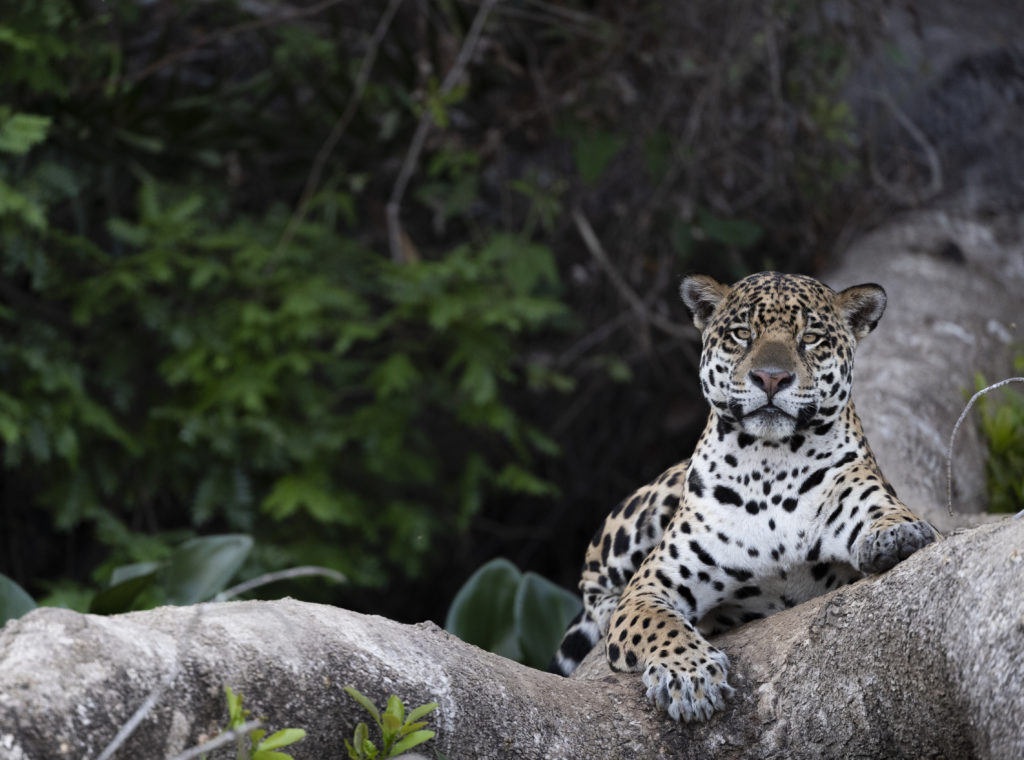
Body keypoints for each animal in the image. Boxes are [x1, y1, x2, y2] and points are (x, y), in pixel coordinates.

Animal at [550, 271, 939, 722]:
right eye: (742, 334)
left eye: (810, 338)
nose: (771, 378)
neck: (769, 467)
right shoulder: (649, 587)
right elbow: (659, 623)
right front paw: (690, 676)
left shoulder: (865, 493)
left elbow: (890, 513)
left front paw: (896, 536)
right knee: (593, 579)